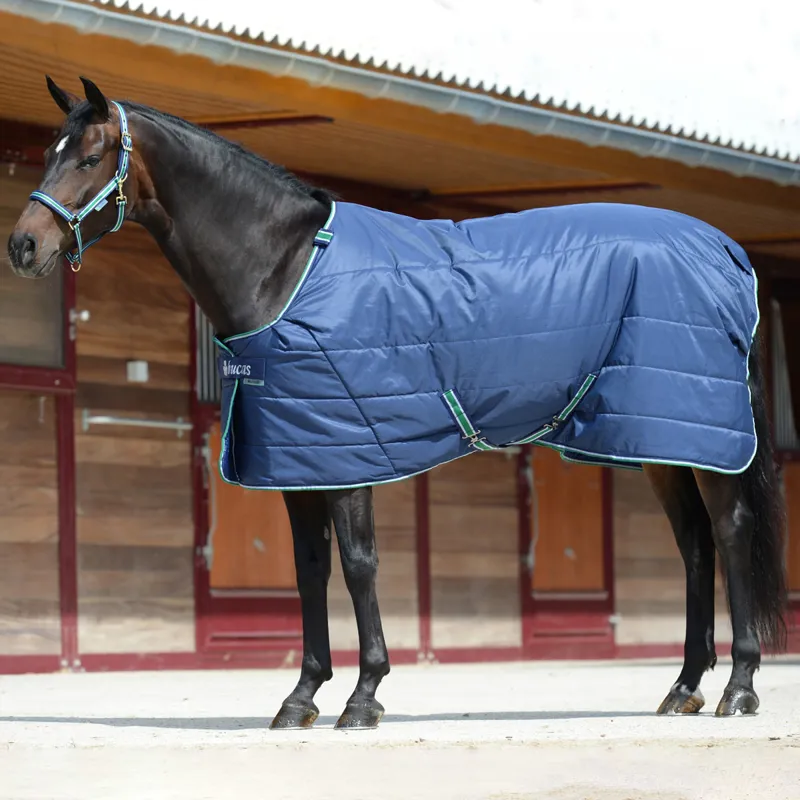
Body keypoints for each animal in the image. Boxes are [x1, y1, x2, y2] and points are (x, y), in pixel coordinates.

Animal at [7, 76, 787, 730]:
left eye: (91, 156)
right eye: (48, 154)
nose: (23, 246)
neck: (287, 268)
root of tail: (725, 249)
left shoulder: (349, 447)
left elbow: (358, 564)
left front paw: (363, 695)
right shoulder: (298, 458)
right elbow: (309, 570)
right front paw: (301, 696)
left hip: (699, 438)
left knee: (729, 533)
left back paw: (739, 688)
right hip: (658, 439)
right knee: (693, 547)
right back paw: (683, 687)